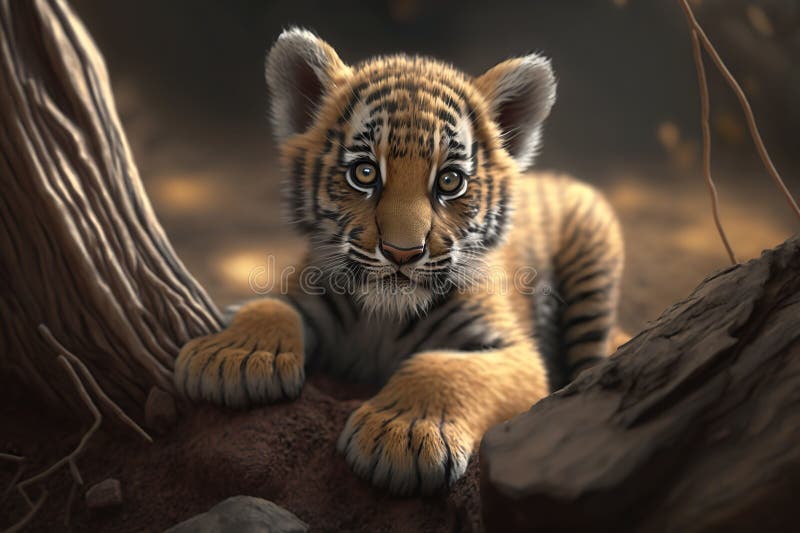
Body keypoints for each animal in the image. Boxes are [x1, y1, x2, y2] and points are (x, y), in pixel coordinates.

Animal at [174, 28, 624, 495]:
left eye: (450, 180)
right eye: (365, 173)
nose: (402, 252)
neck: (384, 319)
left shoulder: (516, 352)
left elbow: (443, 367)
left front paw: (403, 434)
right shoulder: (310, 292)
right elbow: (269, 304)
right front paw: (233, 356)